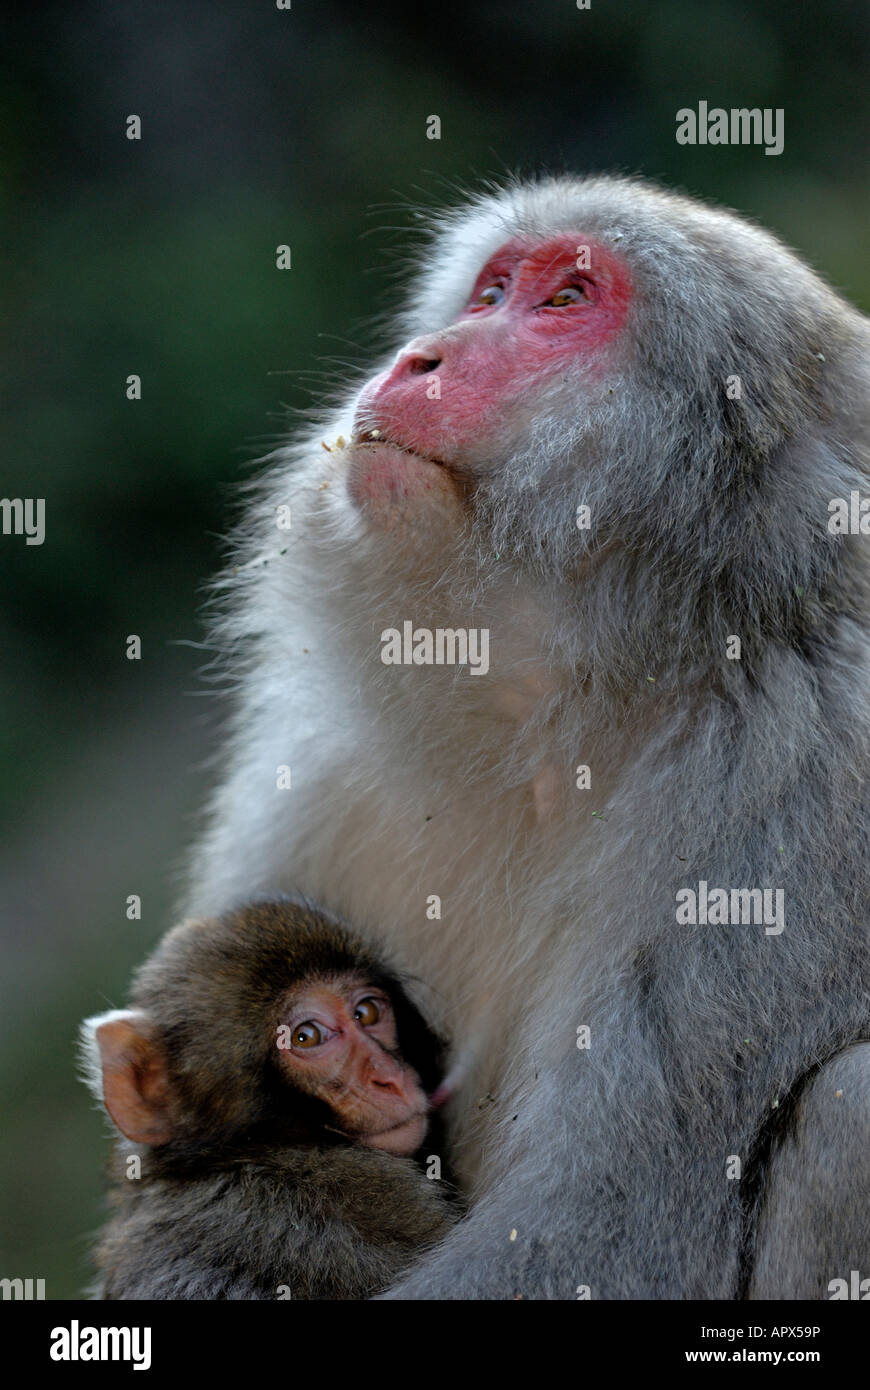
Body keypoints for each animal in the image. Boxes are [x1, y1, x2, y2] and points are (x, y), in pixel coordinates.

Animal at [182, 175, 870, 1298]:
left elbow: (599, 1243)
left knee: (853, 1108)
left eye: (568, 299)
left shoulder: (794, 795)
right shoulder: (325, 772)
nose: (421, 358)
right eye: (492, 289)